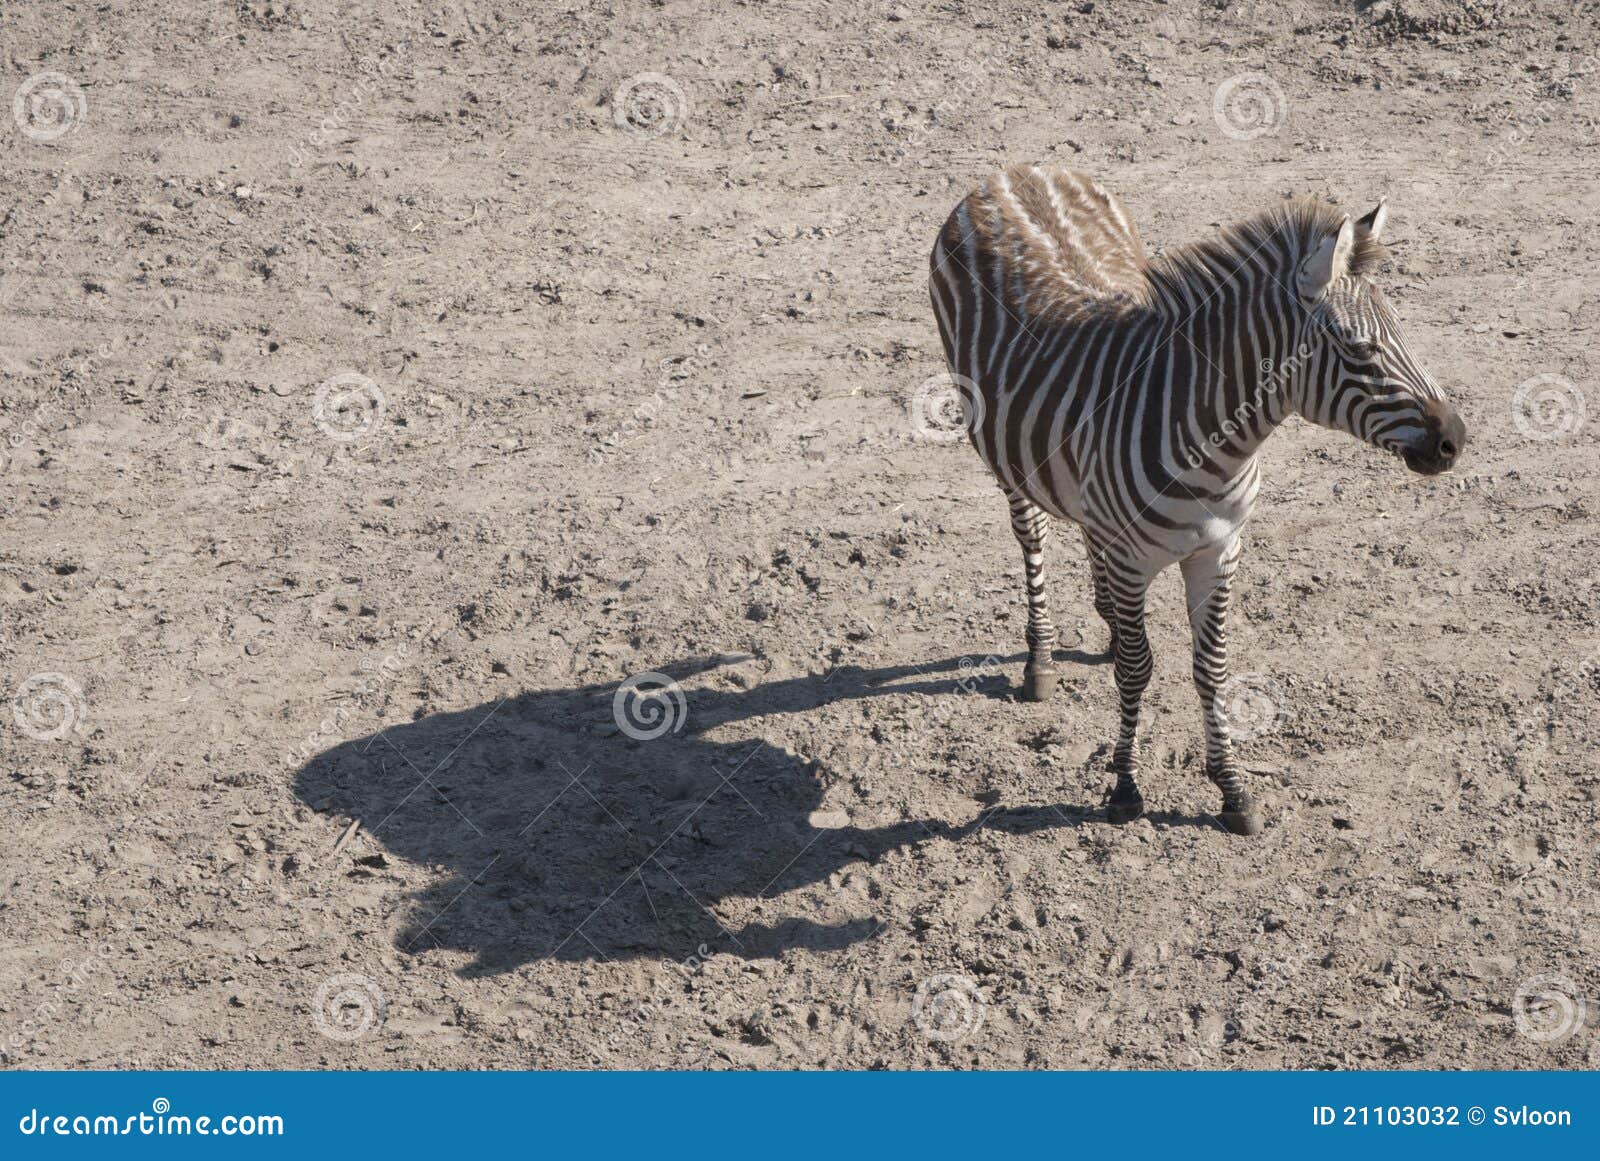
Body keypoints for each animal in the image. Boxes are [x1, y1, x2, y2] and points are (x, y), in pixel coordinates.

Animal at [927, 166, 1465, 836]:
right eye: (1357, 349)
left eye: (1401, 332)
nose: (1454, 440)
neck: (1215, 441)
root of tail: (1015, 171)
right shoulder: (1134, 559)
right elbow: (1138, 670)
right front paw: (1125, 787)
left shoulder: (1219, 549)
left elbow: (1211, 668)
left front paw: (1232, 790)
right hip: (997, 440)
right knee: (1033, 534)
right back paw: (1041, 658)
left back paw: (1106, 623)